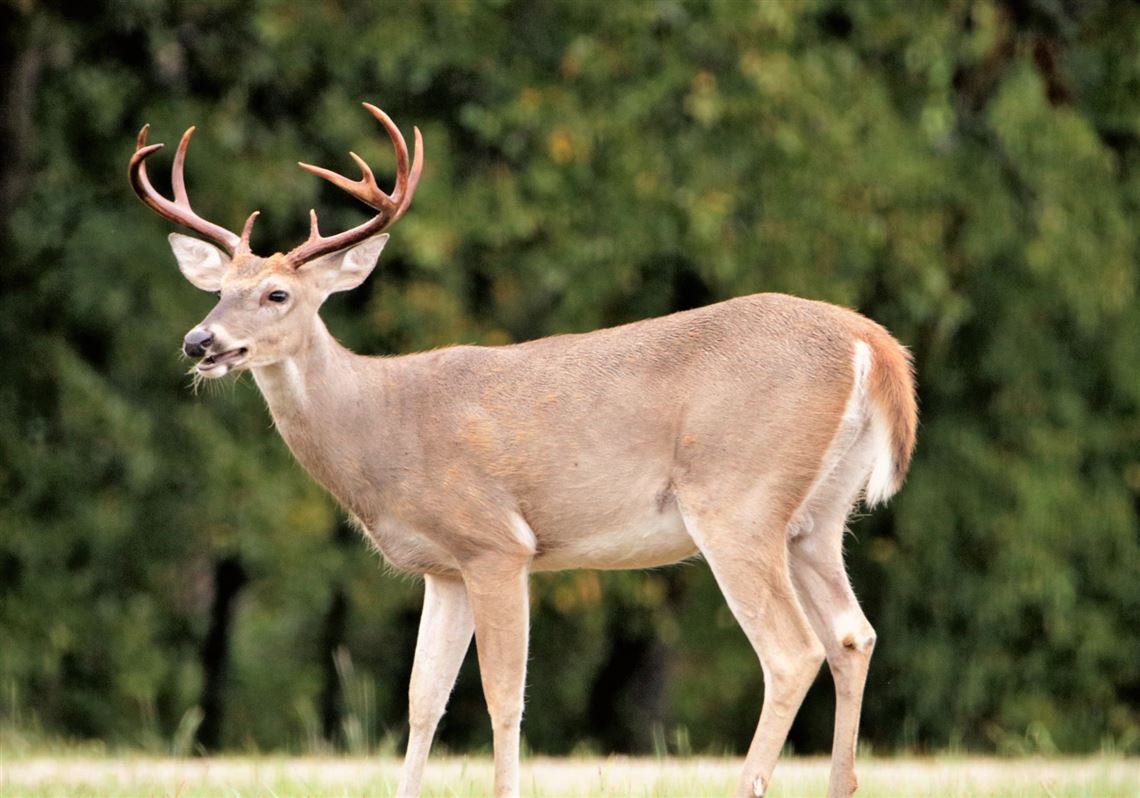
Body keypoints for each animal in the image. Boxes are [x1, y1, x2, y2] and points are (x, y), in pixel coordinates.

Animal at [128, 103, 916, 798]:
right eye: (218, 290)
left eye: (277, 295)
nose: (200, 342)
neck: (383, 422)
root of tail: (870, 343)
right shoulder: (443, 570)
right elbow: (423, 699)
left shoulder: (496, 543)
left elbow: (503, 696)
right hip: (816, 516)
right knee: (853, 635)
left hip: (737, 499)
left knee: (792, 650)